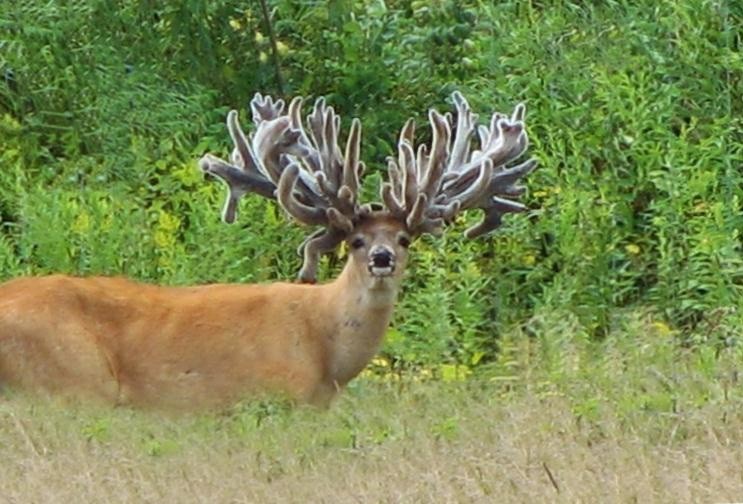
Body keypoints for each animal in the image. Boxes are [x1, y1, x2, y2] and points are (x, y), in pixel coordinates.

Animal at [0, 92, 536, 410]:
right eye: (357, 240)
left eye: (404, 239)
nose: (382, 259)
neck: (325, 349)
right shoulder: (274, 397)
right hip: (76, 380)